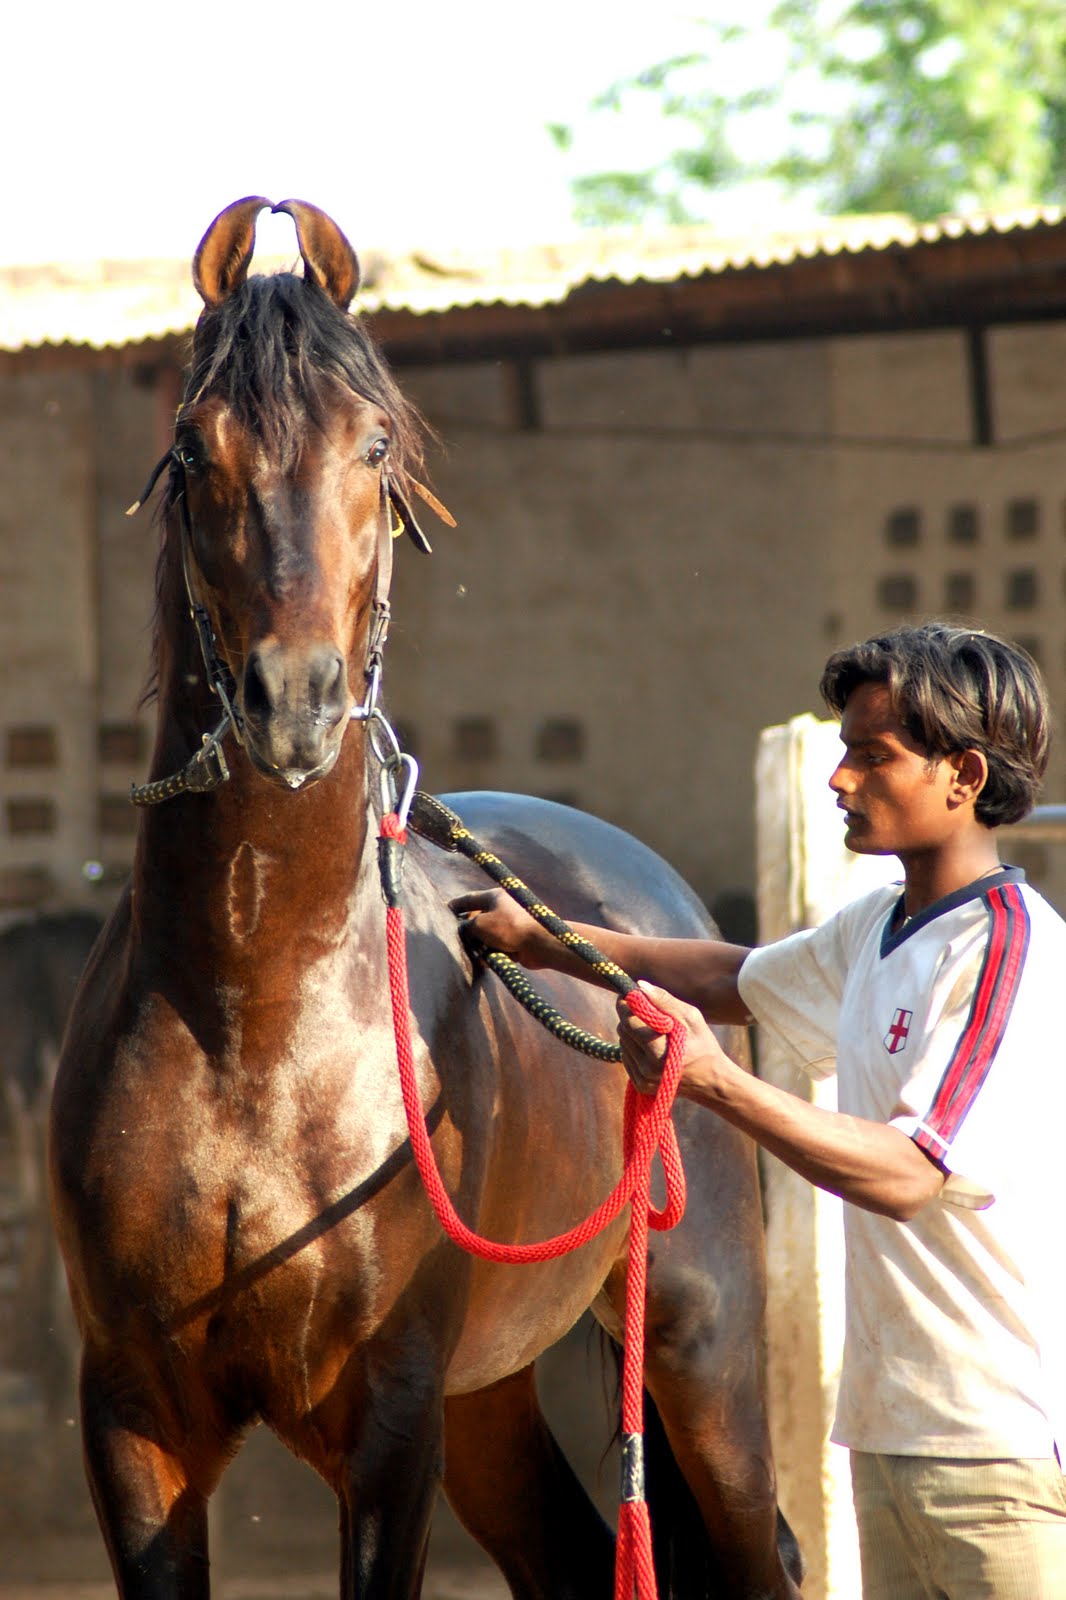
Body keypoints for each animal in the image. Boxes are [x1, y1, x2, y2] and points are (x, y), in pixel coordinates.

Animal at [49, 197, 803, 1599]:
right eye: (189, 448)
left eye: (376, 444)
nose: (294, 699)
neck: (256, 1011)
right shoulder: (133, 1413)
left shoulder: (390, 1416)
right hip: (491, 1399)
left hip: (700, 1351)